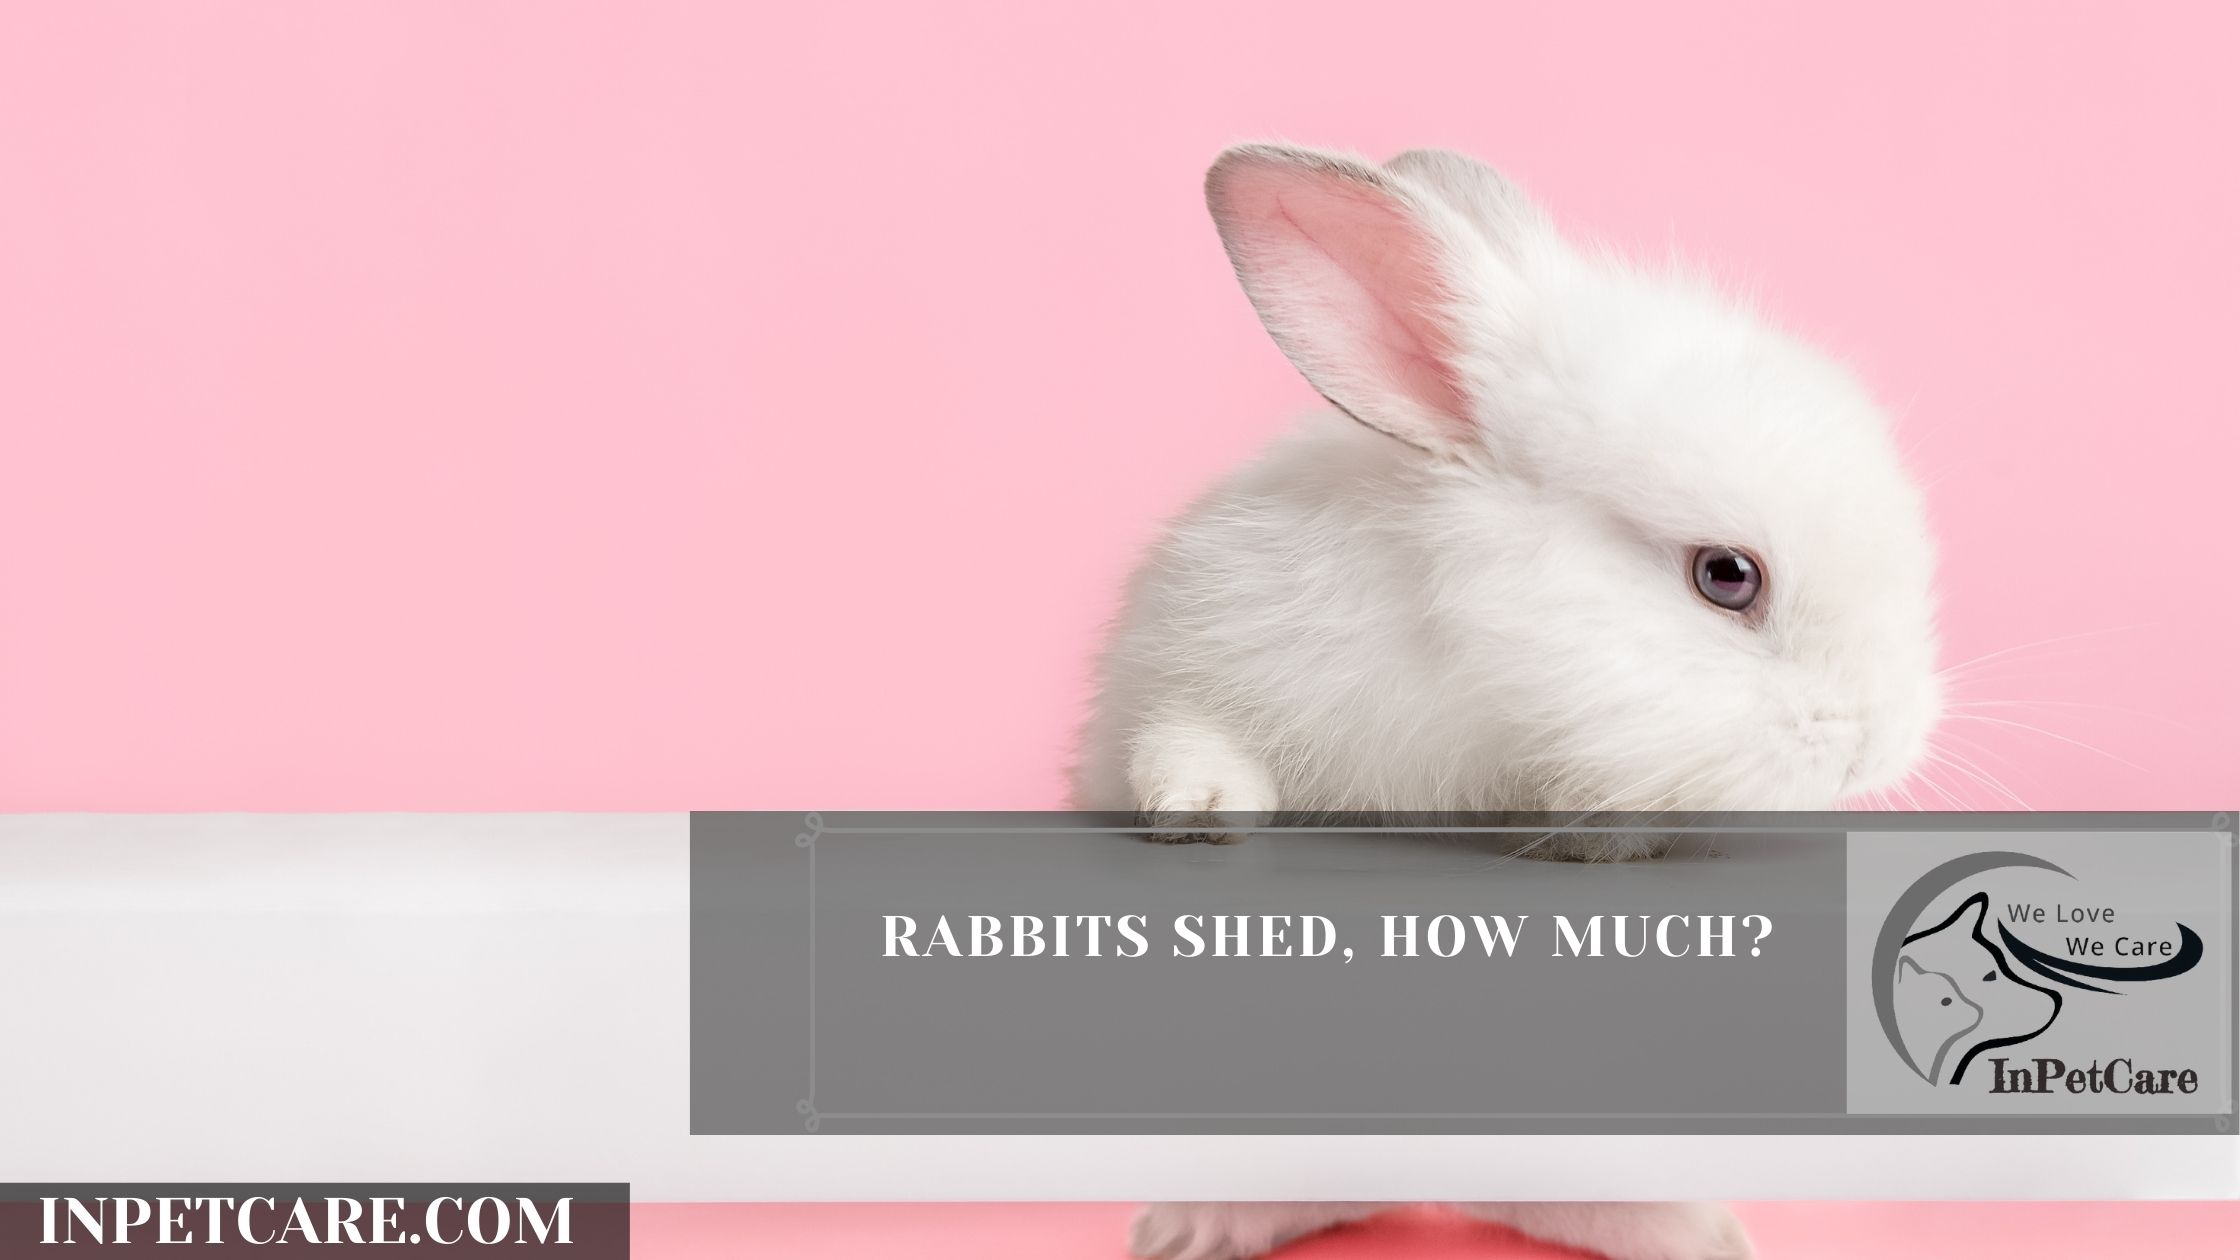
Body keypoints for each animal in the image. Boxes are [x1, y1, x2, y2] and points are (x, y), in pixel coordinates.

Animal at [1071, 143, 1945, 1260]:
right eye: (1725, 576)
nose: (1878, 743)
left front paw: (1597, 842)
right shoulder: (1186, 663)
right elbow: (1185, 740)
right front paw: (1202, 815)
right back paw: (1189, 1229)